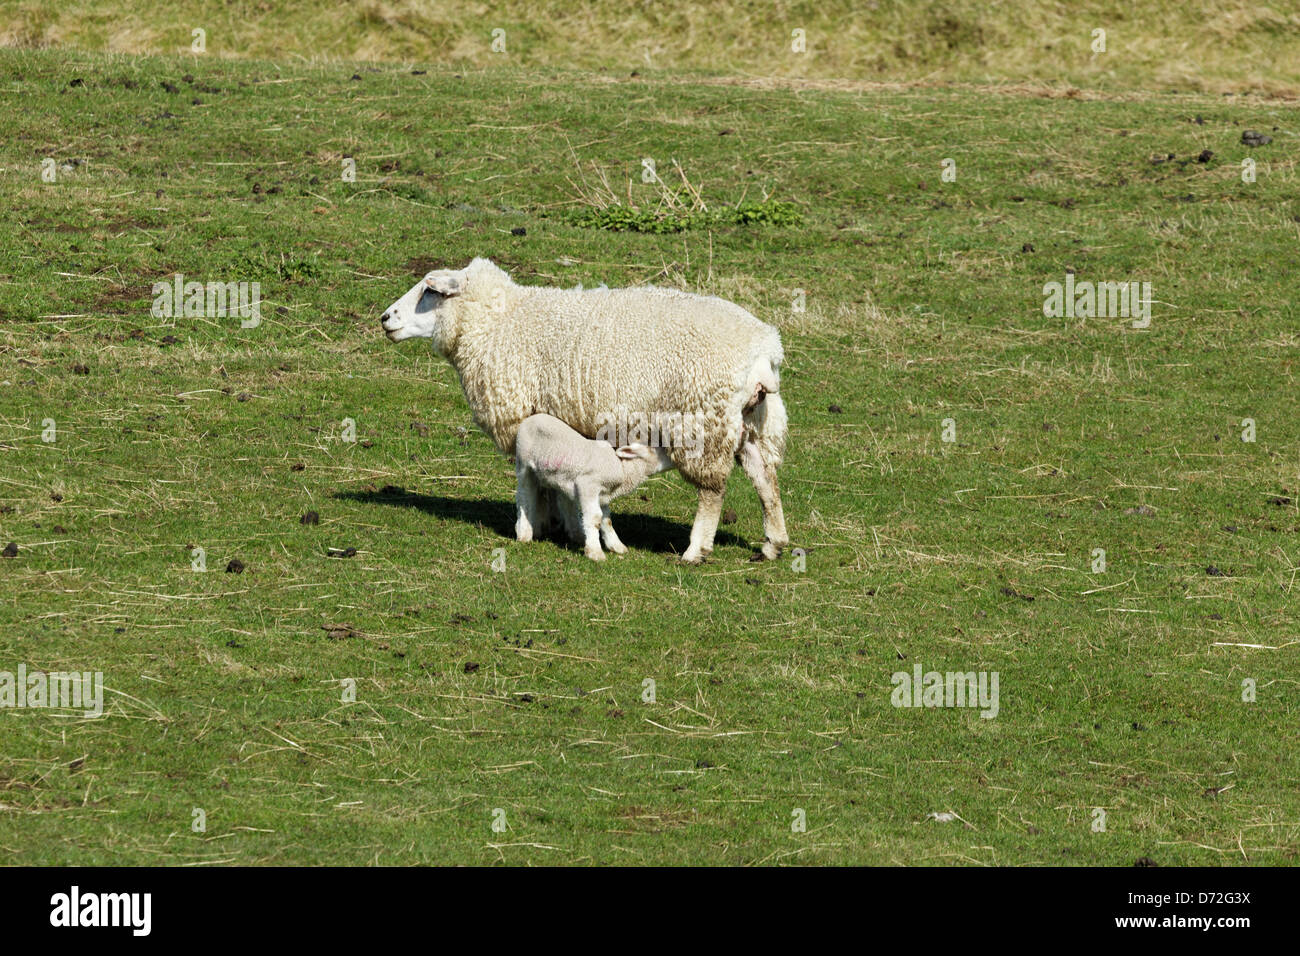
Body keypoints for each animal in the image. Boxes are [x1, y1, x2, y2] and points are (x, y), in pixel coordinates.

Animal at [514, 413, 673, 560]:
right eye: (657, 449)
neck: (622, 469)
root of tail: (531, 418)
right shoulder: (588, 485)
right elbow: (595, 518)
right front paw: (595, 552)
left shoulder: (603, 495)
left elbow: (606, 519)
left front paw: (616, 546)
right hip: (523, 461)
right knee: (524, 495)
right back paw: (524, 532)